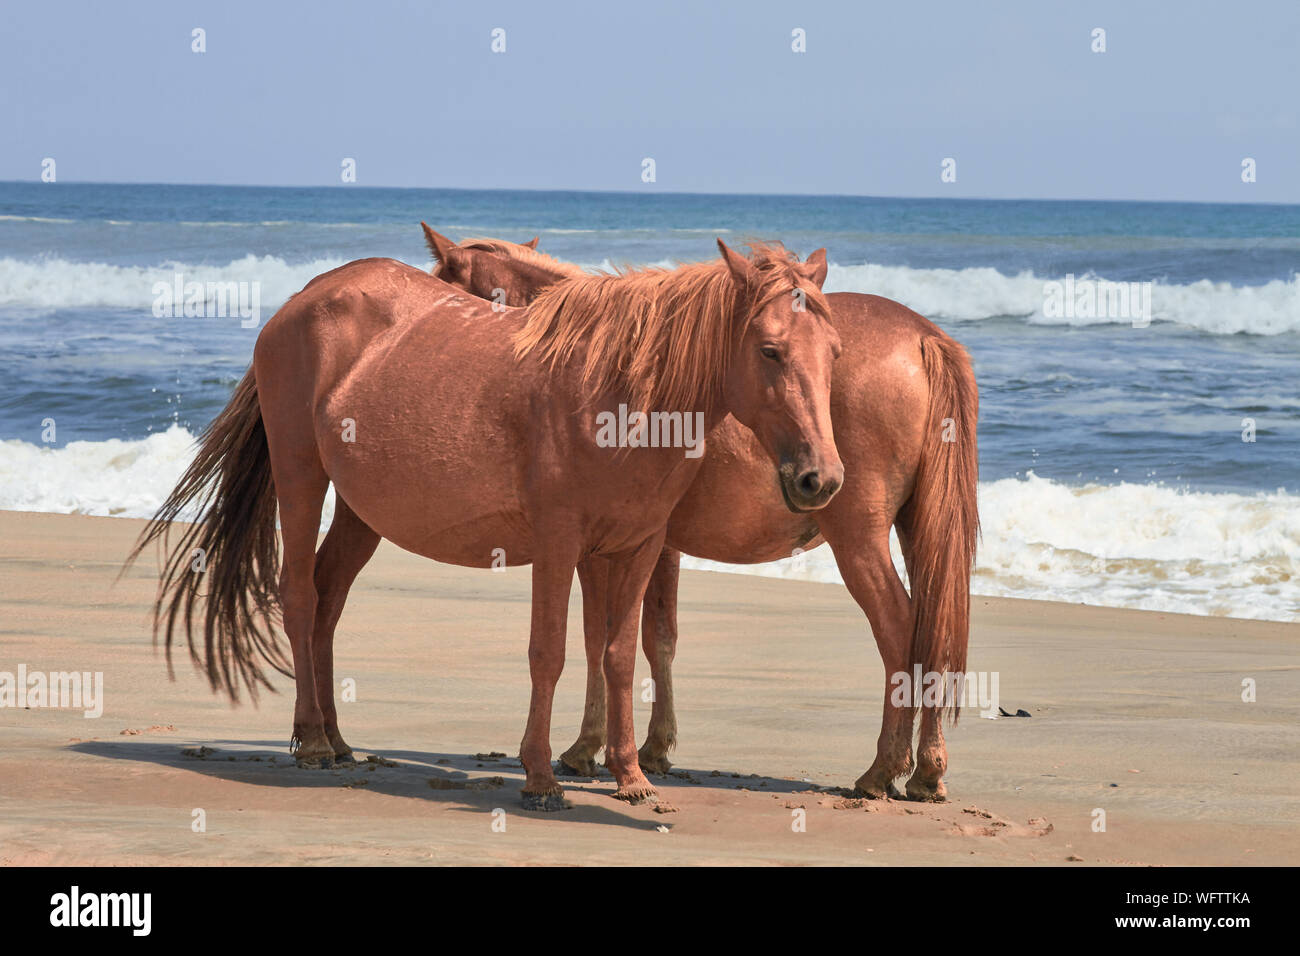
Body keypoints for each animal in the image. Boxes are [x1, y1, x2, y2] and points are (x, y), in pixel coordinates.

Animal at [126, 240, 843, 809]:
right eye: (771, 350)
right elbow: (551, 652)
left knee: (328, 600)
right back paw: (311, 743)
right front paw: (542, 779)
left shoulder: (637, 548)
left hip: (362, 509)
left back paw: (335, 735)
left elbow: (617, 654)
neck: (619, 392)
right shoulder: (560, 543)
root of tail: (302, 299)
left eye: (834, 353)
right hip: (301, 476)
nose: (821, 478)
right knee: (300, 594)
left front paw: (632, 776)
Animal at [420, 226, 979, 801]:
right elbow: (654, 638)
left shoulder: (605, 547)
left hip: (857, 539)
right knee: (933, 629)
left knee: (900, 628)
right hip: (918, 530)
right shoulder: (651, 545)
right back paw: (927, 769)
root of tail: (923, 336)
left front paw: (592, 748)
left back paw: (883, 768)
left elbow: (605, 637)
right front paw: (647, 746)